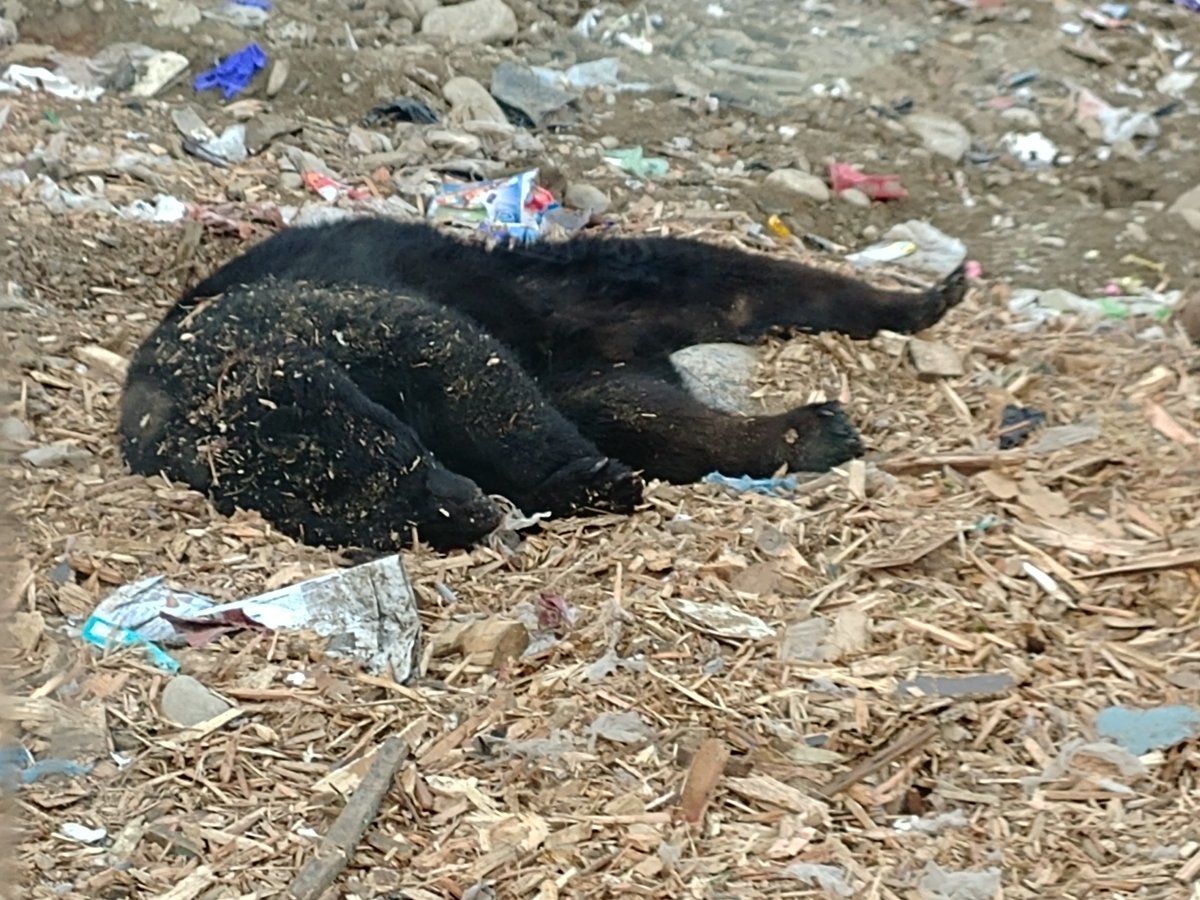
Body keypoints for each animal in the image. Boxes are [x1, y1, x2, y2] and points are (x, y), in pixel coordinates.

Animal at [118, 217, 968, 553]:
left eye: (390, 449)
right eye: (345, 512)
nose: (465, 507)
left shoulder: (328, 312)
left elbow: (465, 367)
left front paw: (583, 475)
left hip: (562, 284)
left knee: (719, 280)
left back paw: (919, 299)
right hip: (599, 355)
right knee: (649, 407)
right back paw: (803, 428)